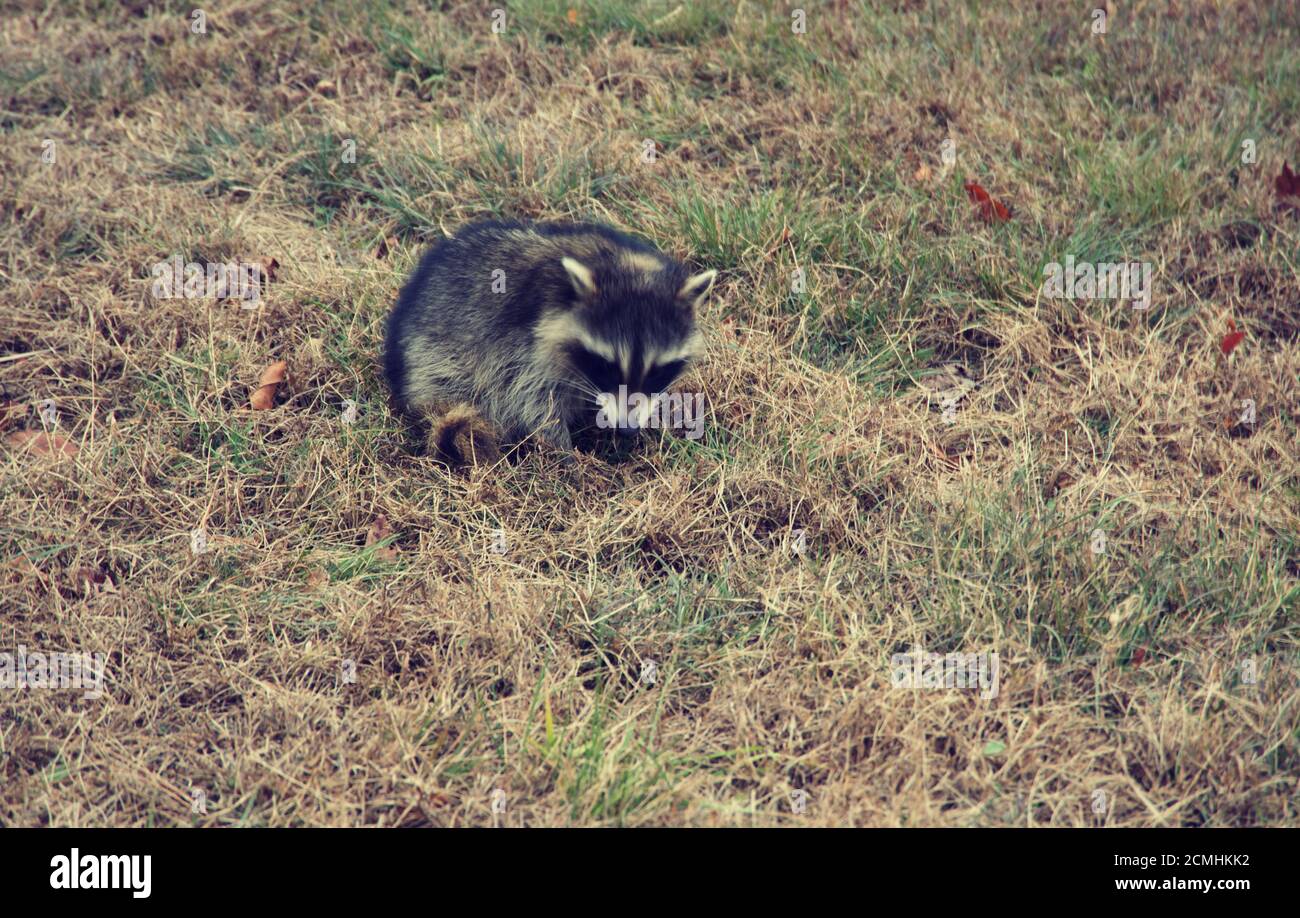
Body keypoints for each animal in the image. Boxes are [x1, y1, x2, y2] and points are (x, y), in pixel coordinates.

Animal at [384, 220, 715, 459]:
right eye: (606, 365)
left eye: (659, 370)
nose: (627, 430)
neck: (618, 262)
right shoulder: (522, 347)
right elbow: (533, 400)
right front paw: (566, 455)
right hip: (435, 360)